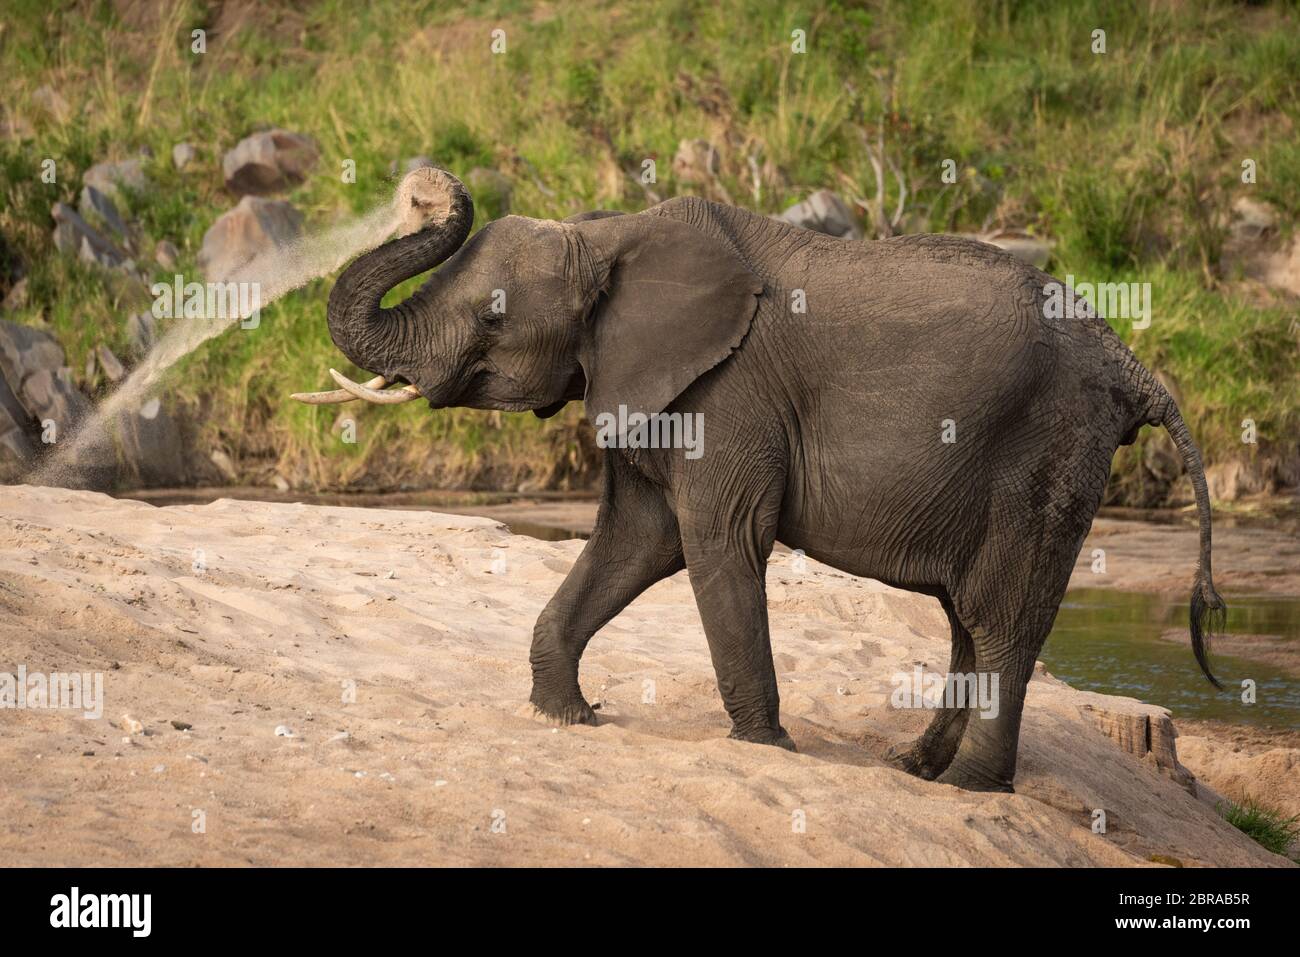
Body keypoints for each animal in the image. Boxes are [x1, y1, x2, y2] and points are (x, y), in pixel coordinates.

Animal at [292, 166, 1225, 792]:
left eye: (492, 316)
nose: (426, 187)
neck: (609, 235)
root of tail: (1132, 361)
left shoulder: (729, 390)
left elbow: (718, 539)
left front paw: (764, 746)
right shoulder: (647, 379)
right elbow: (636, 539)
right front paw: (570, 716)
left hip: (1048, 450)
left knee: (1001, 619)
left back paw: (968, 788)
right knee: (969, 619)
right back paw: (914, 767)